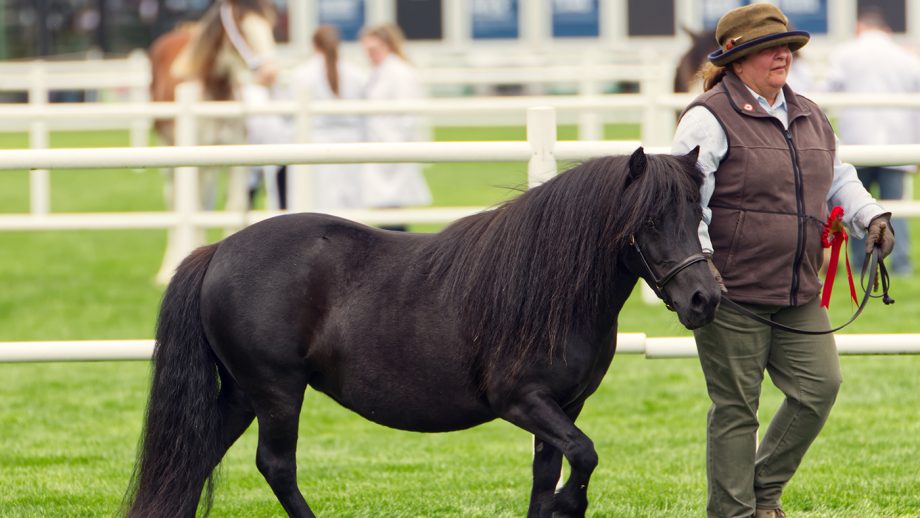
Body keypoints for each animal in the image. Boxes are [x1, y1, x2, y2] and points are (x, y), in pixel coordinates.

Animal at [123, 147, 721, 517]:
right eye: (647, 220)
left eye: (698, 211)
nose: (704, 298)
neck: (549, 289)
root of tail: (219, 249)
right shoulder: (521, 401)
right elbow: (585, 457)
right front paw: (571, 505)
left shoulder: (563, 407)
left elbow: (549, 474)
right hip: (276, 392)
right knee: (276, 467)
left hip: (243, 395)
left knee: (193, 459)